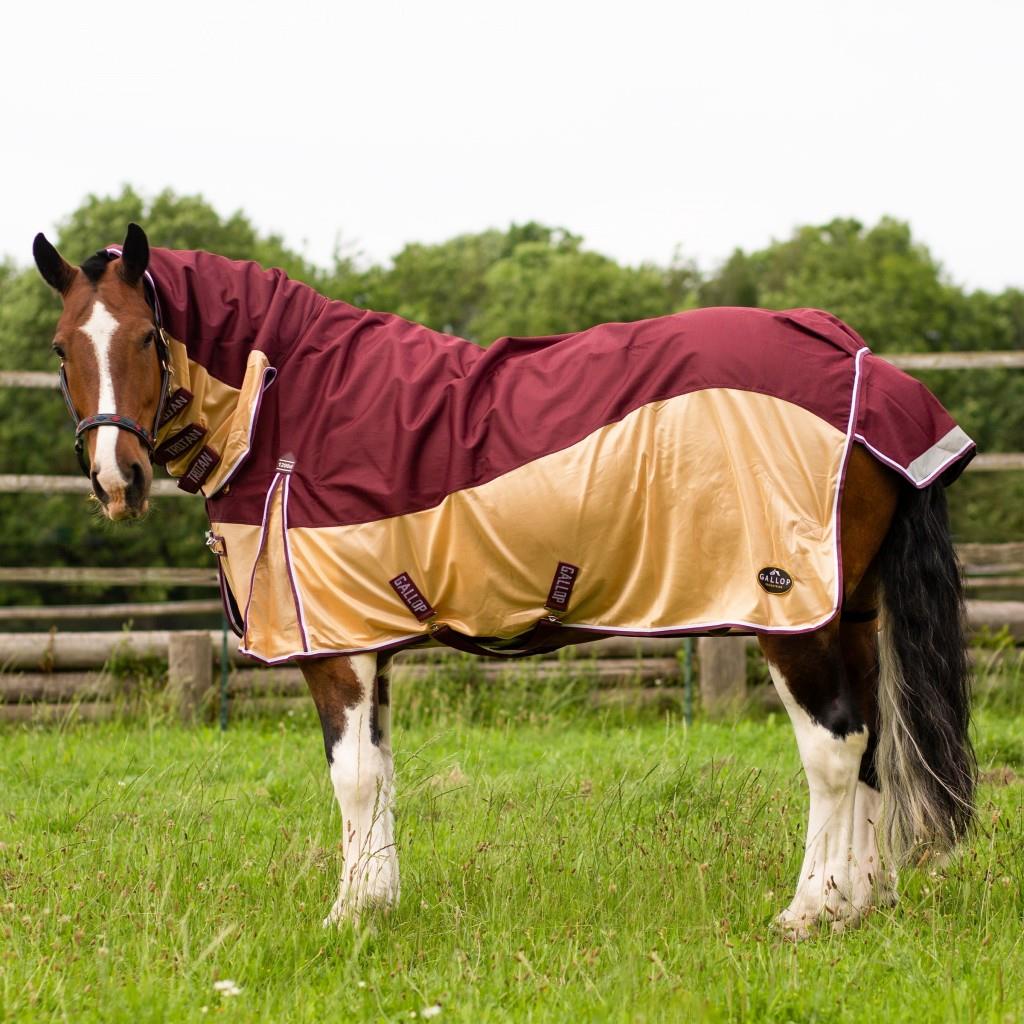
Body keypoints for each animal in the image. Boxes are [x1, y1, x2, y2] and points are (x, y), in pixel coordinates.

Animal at [32, 223, 976, 939]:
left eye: (146, 338)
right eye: (61, 347)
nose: (117, 477)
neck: (285, 407)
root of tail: (863, 363)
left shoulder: (336, 647)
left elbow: (353, 777)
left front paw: (346, 917)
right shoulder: (371, 641)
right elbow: (382, 772)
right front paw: (379, 904)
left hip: (792, 615)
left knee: (835, 749)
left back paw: (810, 910)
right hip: (849, 610)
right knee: (872, 751)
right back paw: (865, 902)